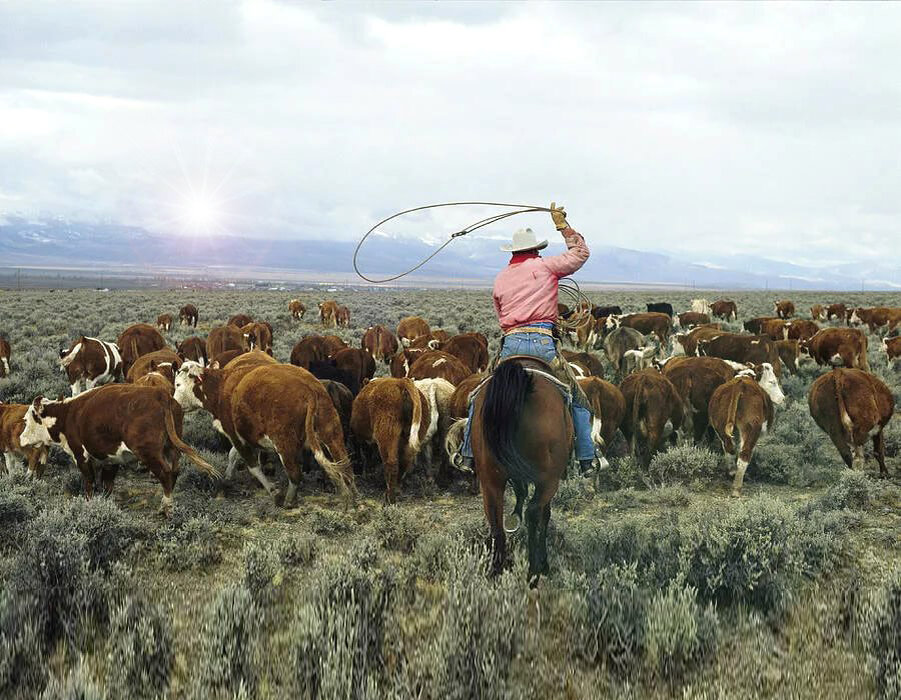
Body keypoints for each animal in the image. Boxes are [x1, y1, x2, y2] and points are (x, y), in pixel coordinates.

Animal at [21, 382, 220, 516]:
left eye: (29, 418)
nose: (22, 439)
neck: (68, 414)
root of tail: (160, 394)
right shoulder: (111, 459)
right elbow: (107, 483)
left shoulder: (81, 455)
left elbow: (89, 482)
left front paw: (89, 503)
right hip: (171, 447)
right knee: (175, 470)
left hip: (149, 453)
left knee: (165, 473)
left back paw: (165, 507)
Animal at [468, 356, 572, 584]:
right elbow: (545, 515)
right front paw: (544, 564)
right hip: (548, 479)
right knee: (533, 512)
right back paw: (534, 571)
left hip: (490, 480)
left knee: (496, 520)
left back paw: (497, 570)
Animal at [708, 366, 784, 498]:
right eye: (772, 382)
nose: (783, 398)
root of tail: (740, 385)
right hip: (751, 429)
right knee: (744, 455)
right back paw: (737, 488)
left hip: (721, 426)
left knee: (729, 448)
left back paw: (732, 473)